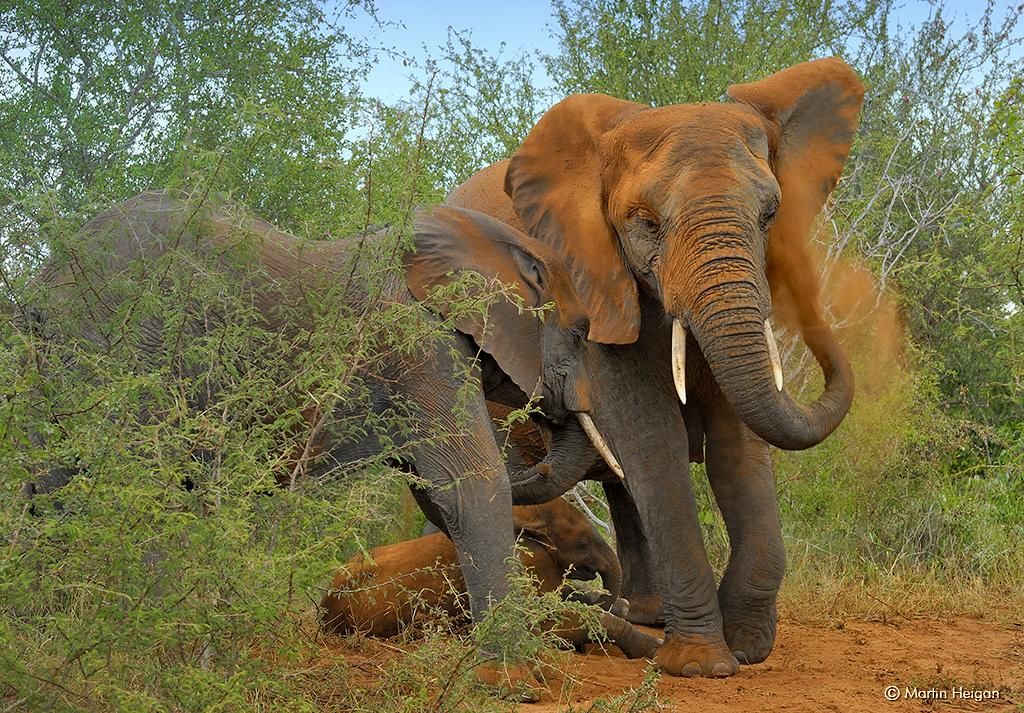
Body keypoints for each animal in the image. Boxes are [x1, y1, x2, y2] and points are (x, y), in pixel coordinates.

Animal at [445, 58, 864, 676]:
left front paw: (747, 649)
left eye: (770, 214)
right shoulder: (593, 279)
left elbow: (736, 443)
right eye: (643, 222)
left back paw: (643, 615)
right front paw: (700, 666)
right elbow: (652, 439)